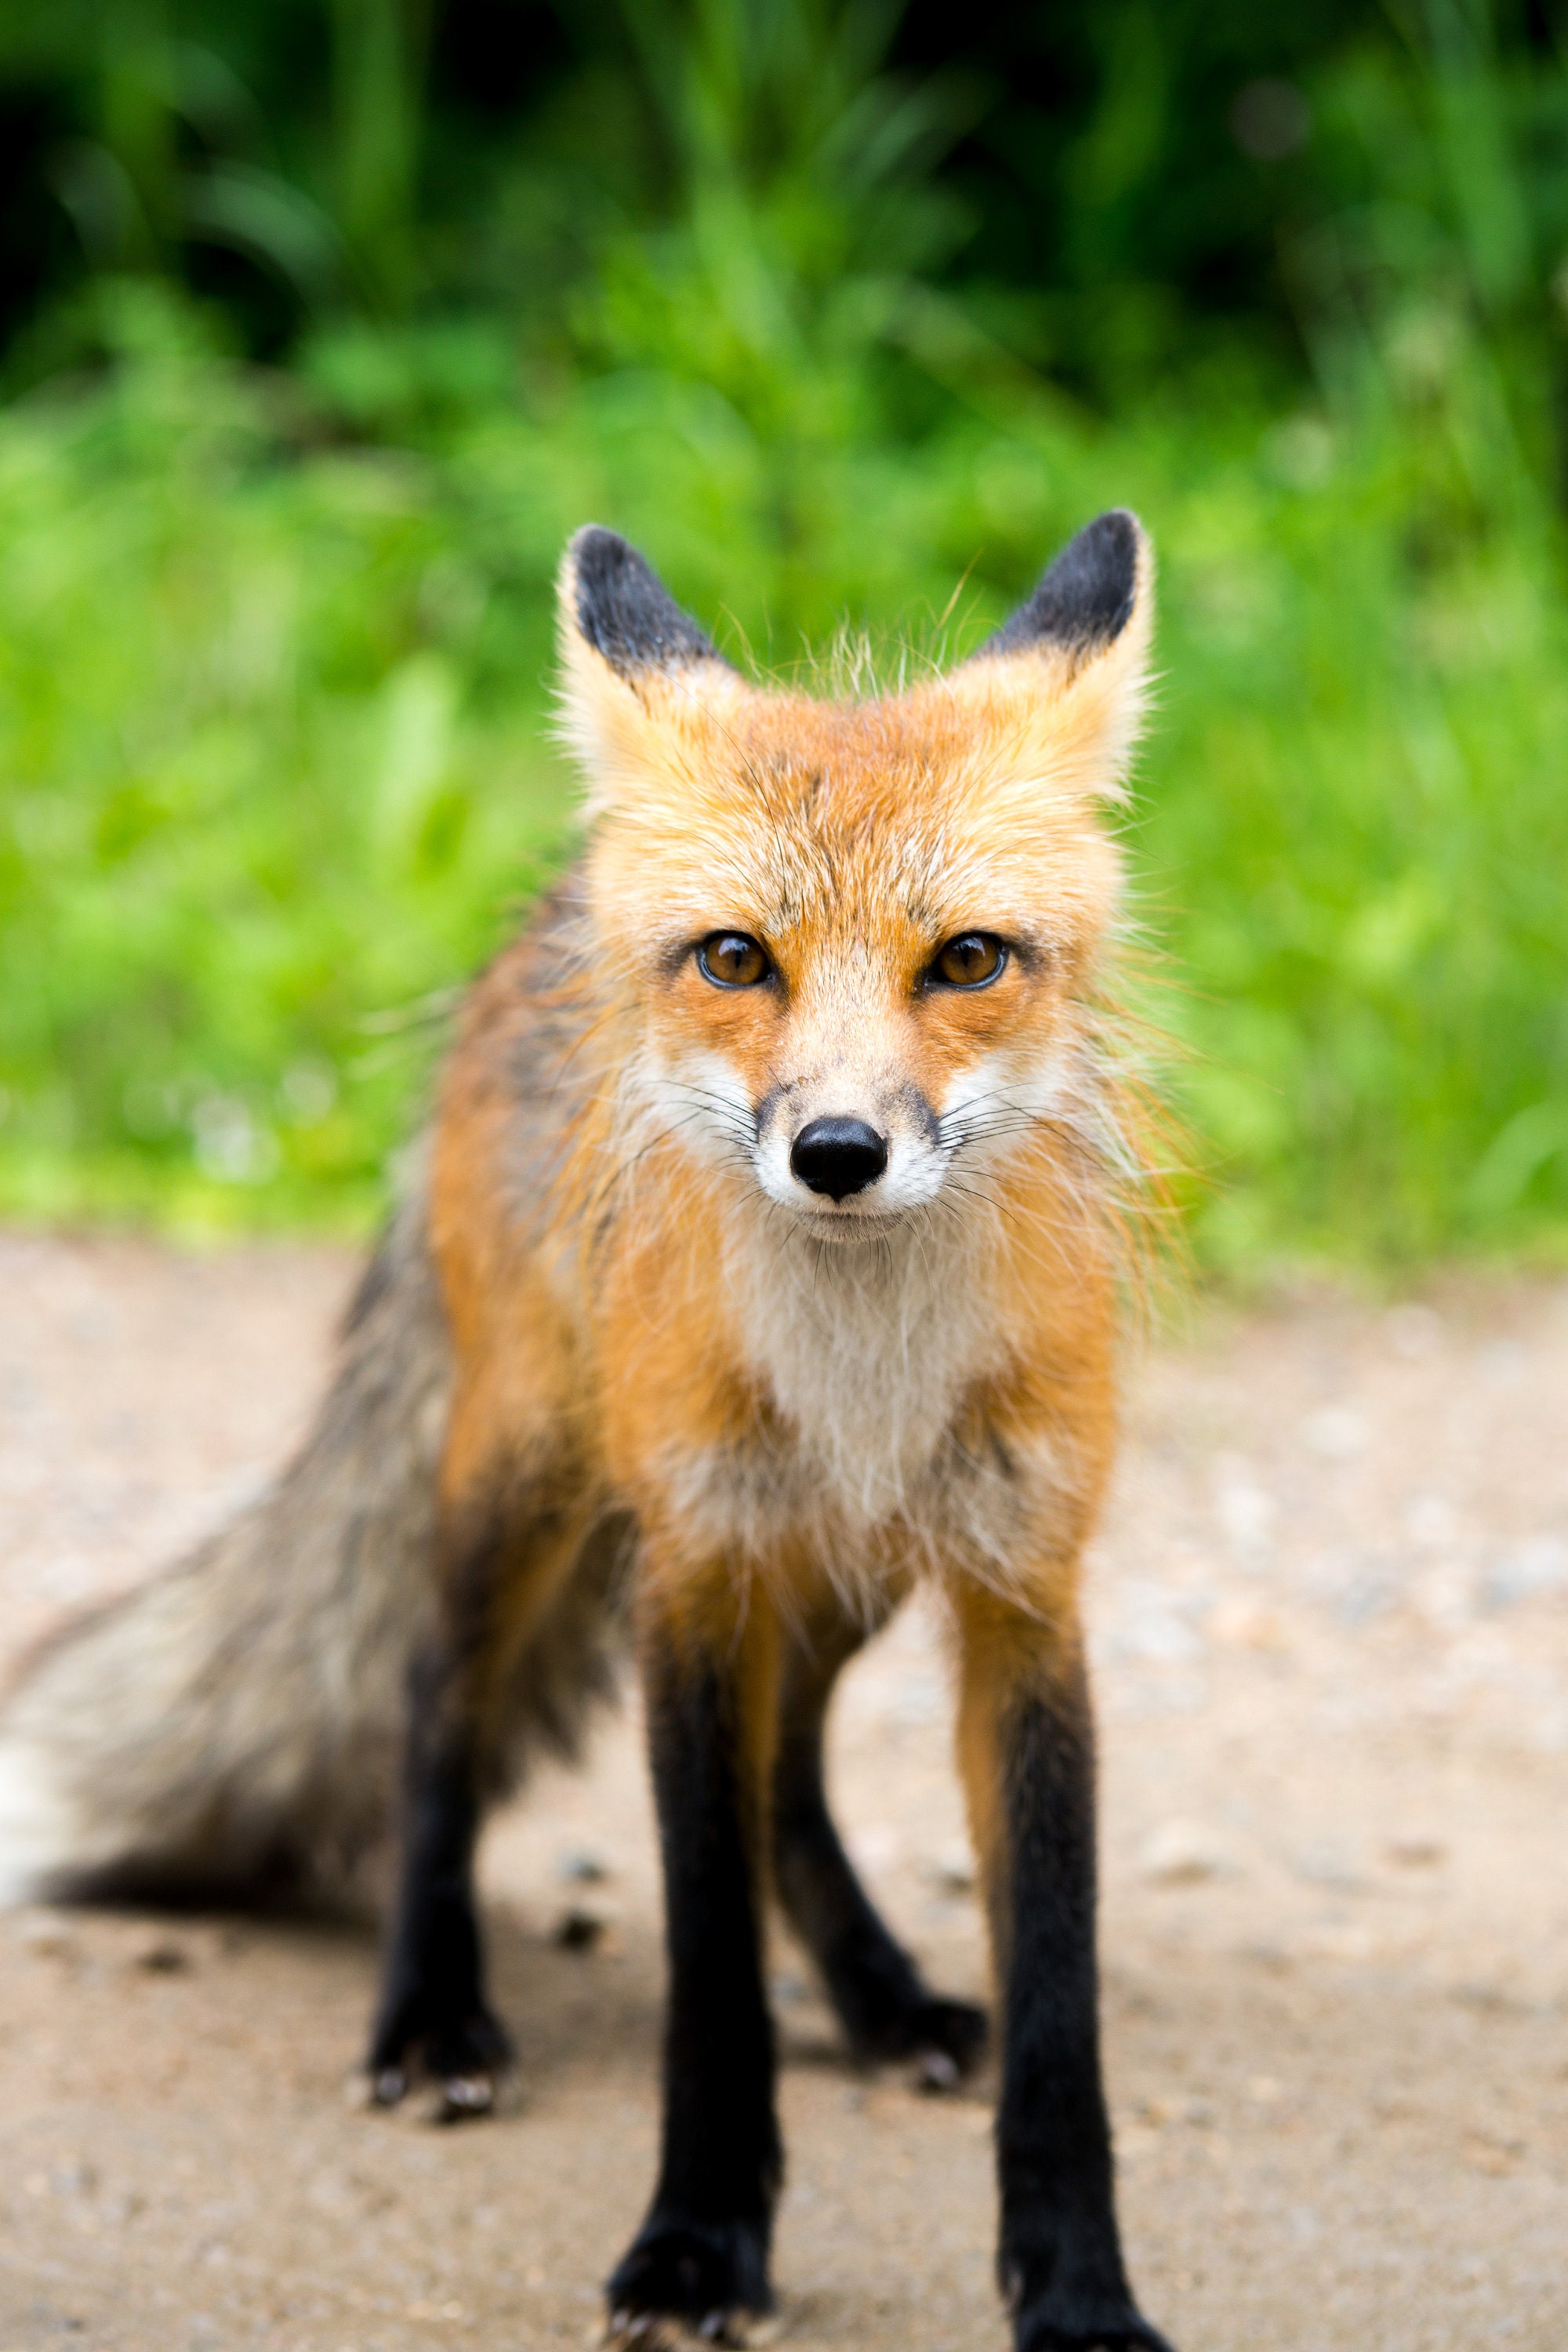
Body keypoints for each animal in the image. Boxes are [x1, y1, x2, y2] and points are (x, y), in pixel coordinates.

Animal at [0, 512, 1173, 2352]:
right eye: (738, 959)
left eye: (969, 959)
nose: (838, 1152)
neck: (860, 1376)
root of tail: (540, 918)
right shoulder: (689, 1578)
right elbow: (706, 1966)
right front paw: (697, 2241)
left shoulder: (1018, 1593)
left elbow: (1057, 2008)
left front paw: (1077, 2296)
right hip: (535, 1478)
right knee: (434, 1697)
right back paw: (429, 2016)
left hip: (839, 1569)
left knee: (790, 1774)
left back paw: (880, 1997)